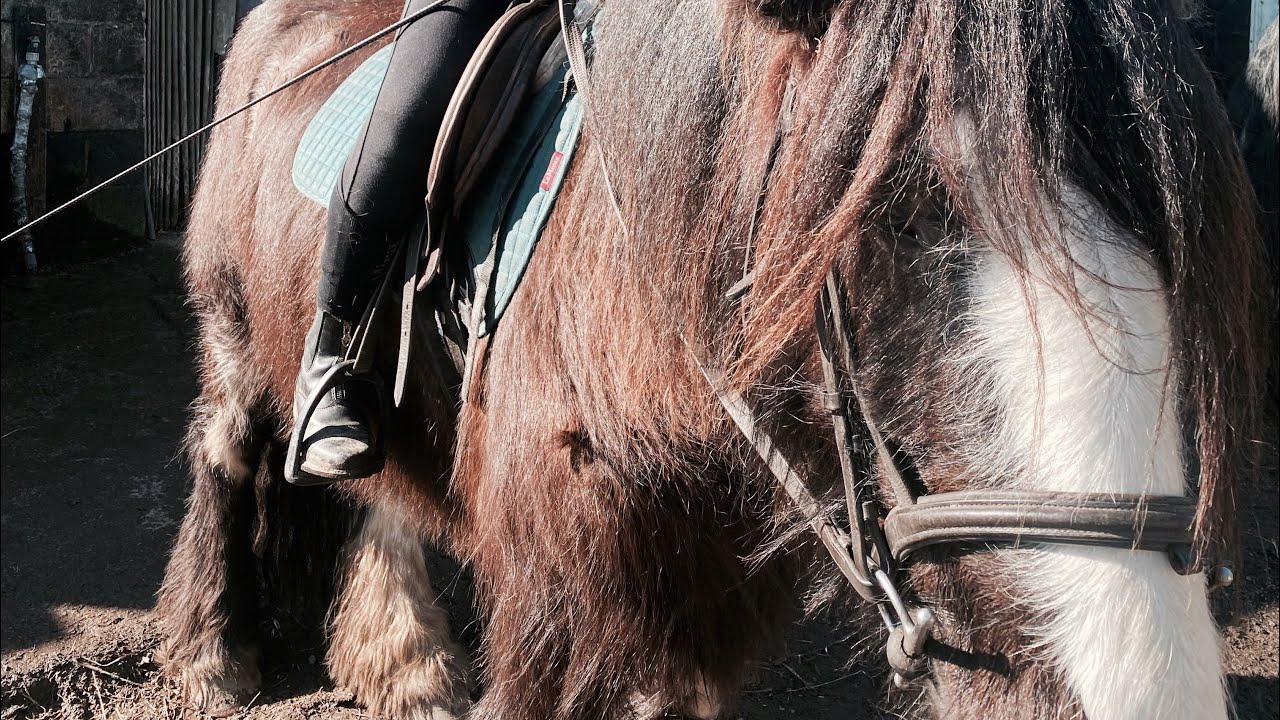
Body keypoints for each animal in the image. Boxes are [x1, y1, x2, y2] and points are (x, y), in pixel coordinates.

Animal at [155, 1, 1270, 718]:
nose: (1144, 691)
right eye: (884, 227)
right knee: (226, 450)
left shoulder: (702, 599)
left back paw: (411, 663)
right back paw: (216, 654)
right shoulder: (564, 602)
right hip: (230, 331)